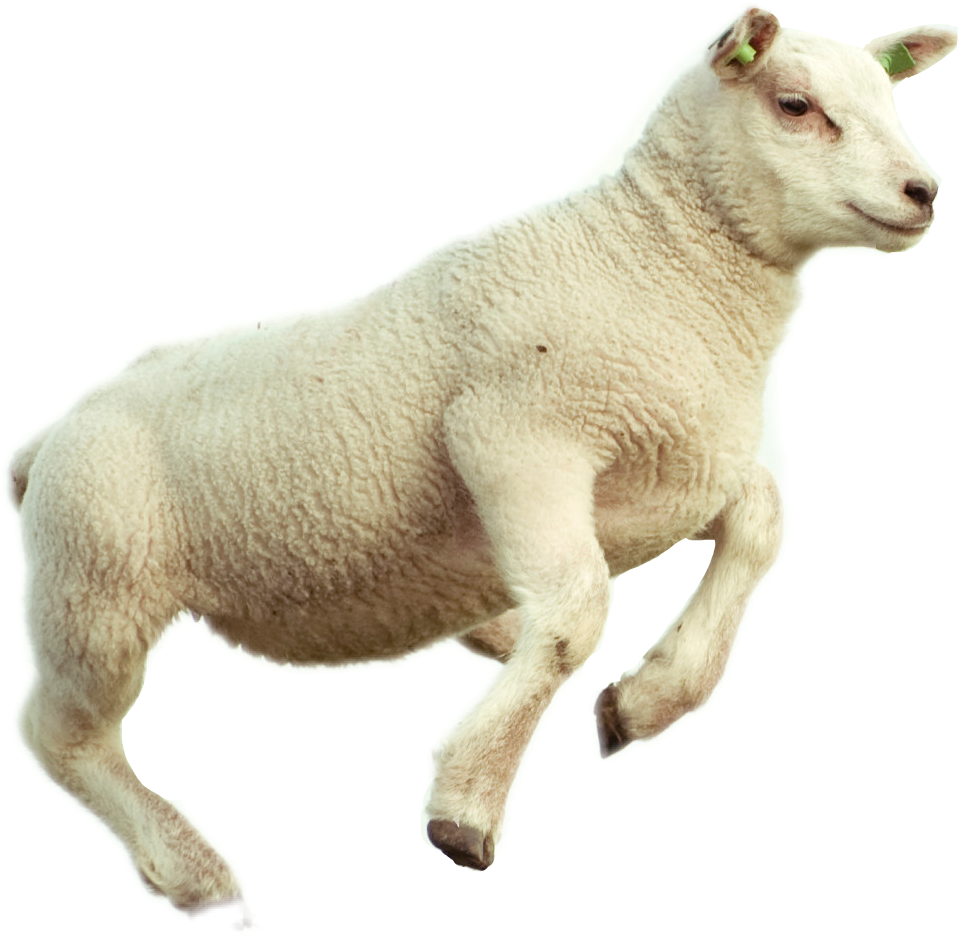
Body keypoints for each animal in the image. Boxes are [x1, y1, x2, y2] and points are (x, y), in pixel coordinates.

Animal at [2, 2, 957, 929]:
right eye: (795, 104)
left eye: (892, 101)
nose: (925, 192)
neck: (658, 264)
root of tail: (44, 435)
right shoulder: (512, 433)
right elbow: (577, 613)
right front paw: (466, 804)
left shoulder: (687, 458)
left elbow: (762, 533)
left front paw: (647, 700)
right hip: (98, 580)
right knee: (59, 734)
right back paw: (195, 873)